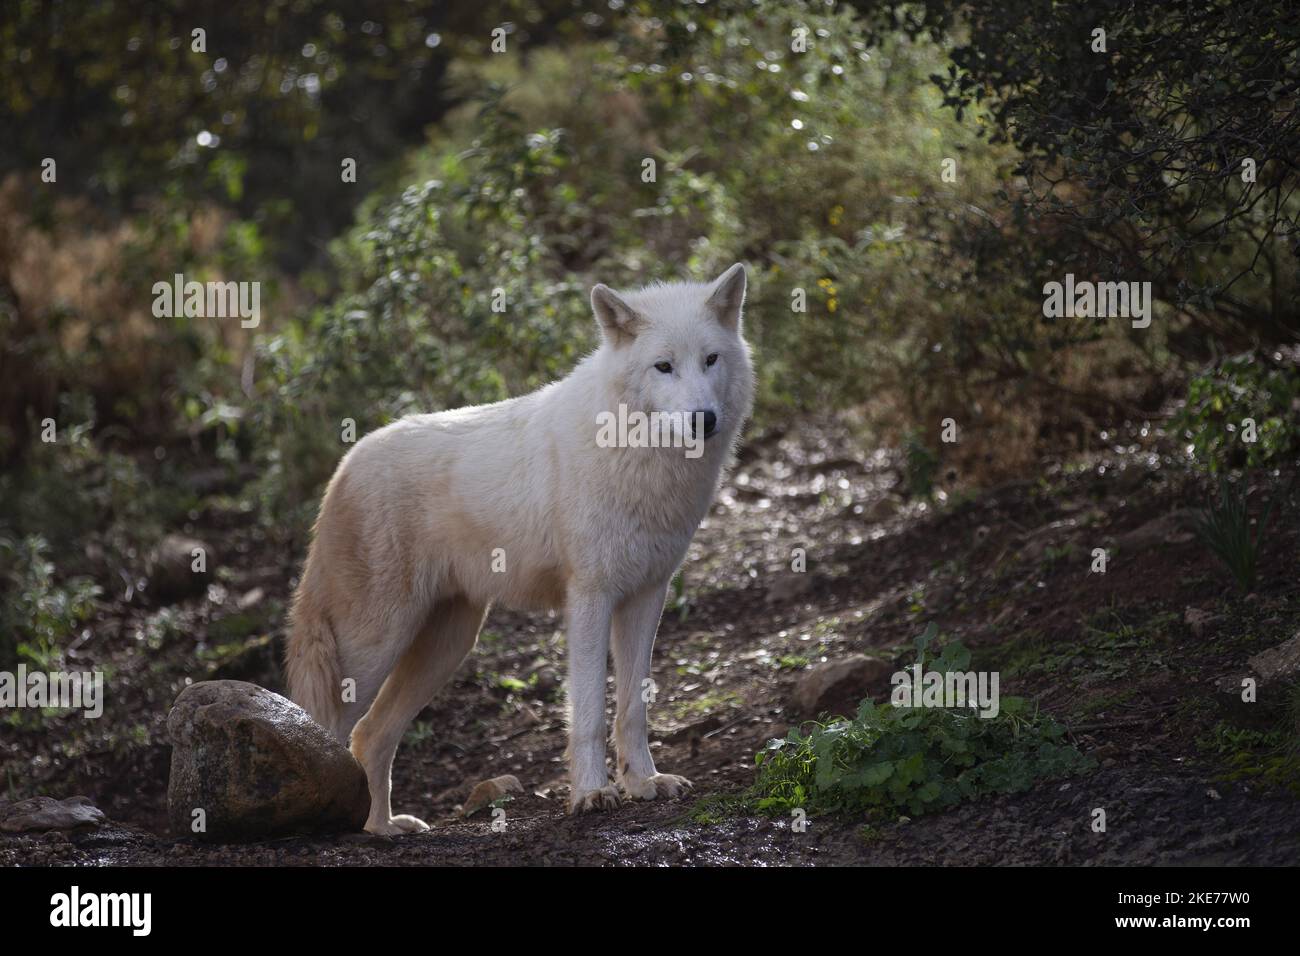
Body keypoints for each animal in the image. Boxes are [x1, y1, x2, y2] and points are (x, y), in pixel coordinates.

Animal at [285, 263, 754, 834]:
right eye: (663, 367)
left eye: (710, 359)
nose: (702, 419)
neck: (638, 456)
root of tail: (342, 470)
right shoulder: (590, 598)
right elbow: (589, 710)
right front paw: (592, 793)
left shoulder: (646, 596)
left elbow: (632, 708)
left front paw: (644, 783)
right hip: (374, 644)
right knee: (332, 730)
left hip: (447, 643)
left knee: (369, 736)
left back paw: (382, 830)